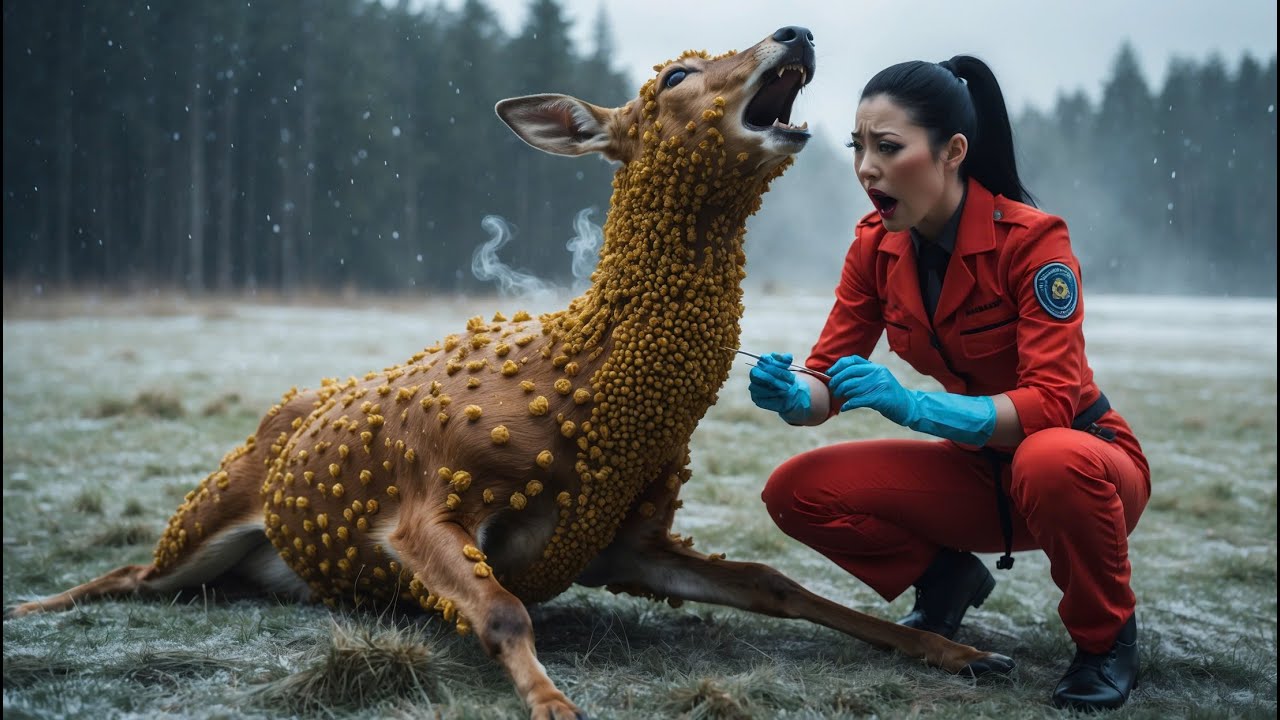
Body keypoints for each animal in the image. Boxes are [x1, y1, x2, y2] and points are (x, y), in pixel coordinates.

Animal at [6, 26, 1013, 720]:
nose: (795, 33)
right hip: (213, 501)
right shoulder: (422, 501)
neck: (589, 385)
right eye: (674, 77)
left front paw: (955, 654)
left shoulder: (629, 539)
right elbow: (502, 614)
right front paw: (554, 702)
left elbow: (780, 584)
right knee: (133, 571)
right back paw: (30, 604)